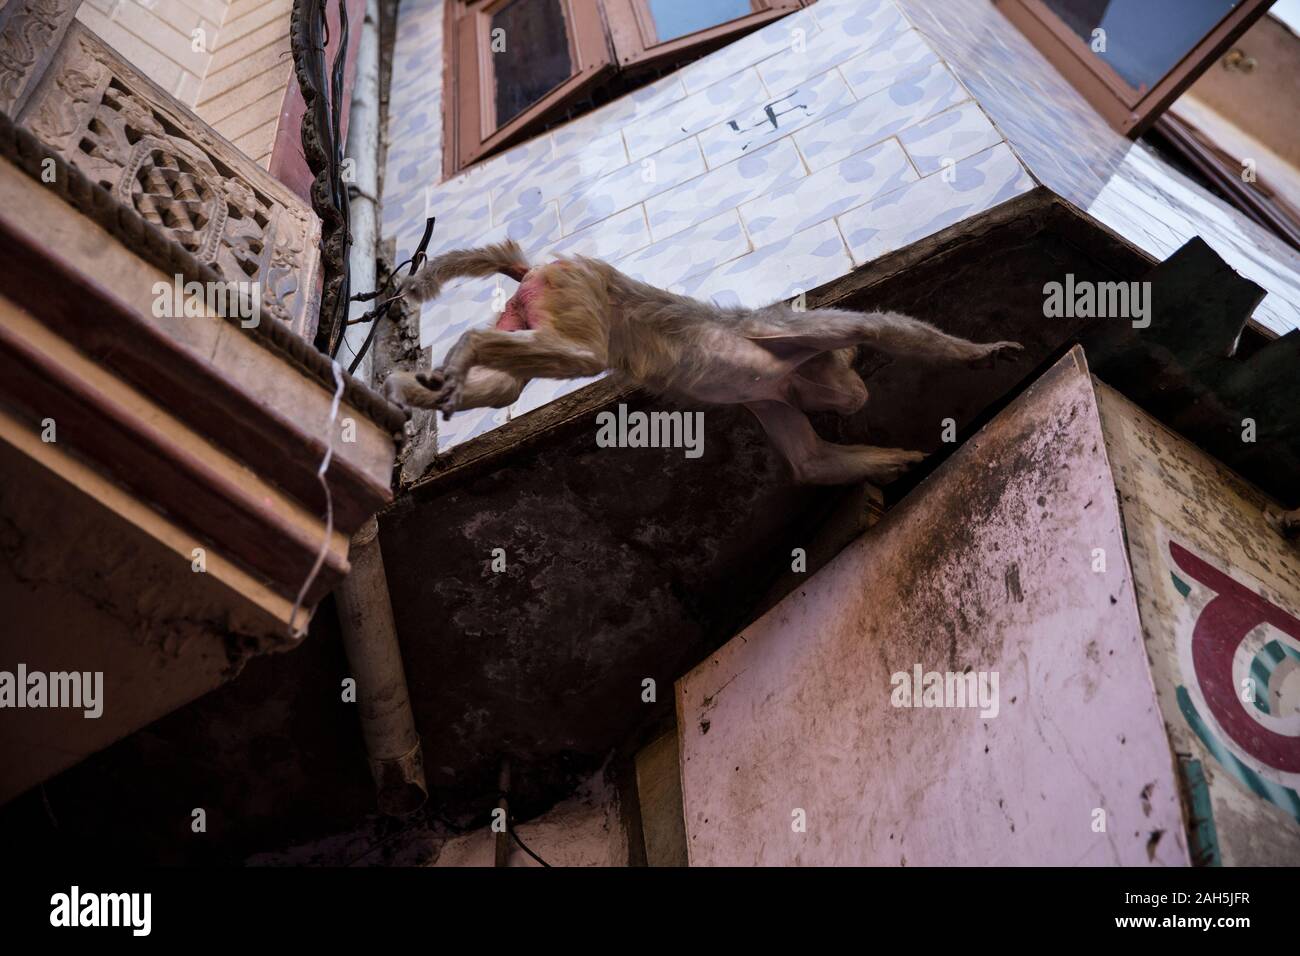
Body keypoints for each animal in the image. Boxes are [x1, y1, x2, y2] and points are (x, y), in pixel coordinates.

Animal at [383, 239, 1022, 485]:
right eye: (845, 370)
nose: (855, 392)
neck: (794, 378)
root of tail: (538, 269)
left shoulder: (766, 397)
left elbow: (812, 463)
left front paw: (903, 459)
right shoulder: (787, 337)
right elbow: (870, 327)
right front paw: (983, 353)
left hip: (531, 309)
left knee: (505, 389)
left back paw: (420, 386)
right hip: (580, 287)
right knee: (584, 354)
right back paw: (463, 349)